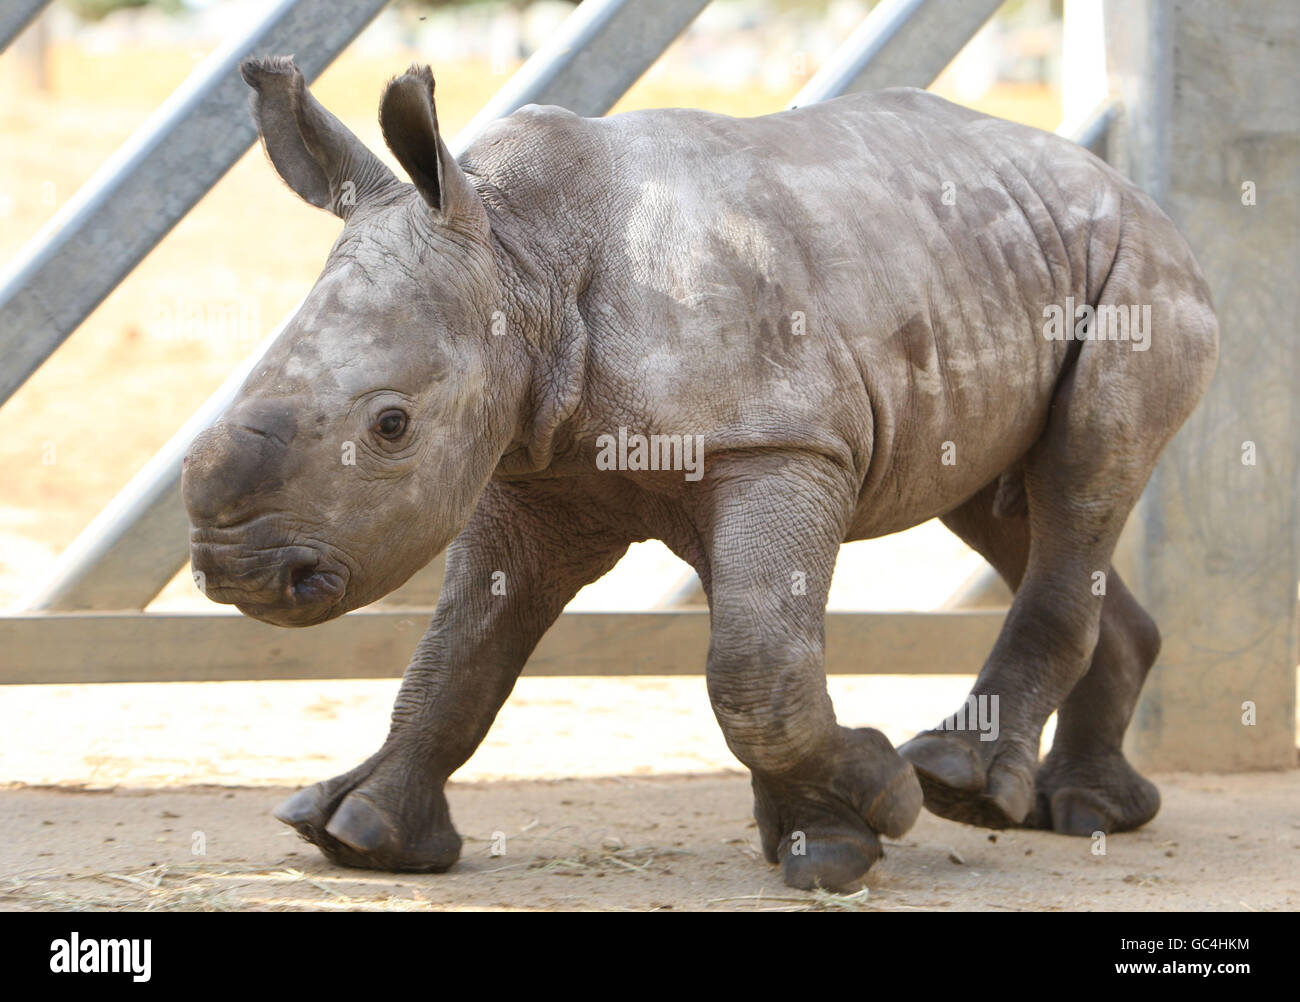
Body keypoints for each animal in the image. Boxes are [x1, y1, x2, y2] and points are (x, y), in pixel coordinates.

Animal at [181, 57, 1218, 891]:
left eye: (390, 425)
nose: (238, 572)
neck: (520, 251)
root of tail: (1122, 181)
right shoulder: (543, 472)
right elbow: (461, 650)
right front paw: (357, 837)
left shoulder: (774, 440)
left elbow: (751, 665)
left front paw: (873, 808)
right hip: (987, 266)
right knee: (1001, 507)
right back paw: (1084, 814)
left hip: (1137, 271)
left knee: (1083, 472)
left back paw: (958, 786)